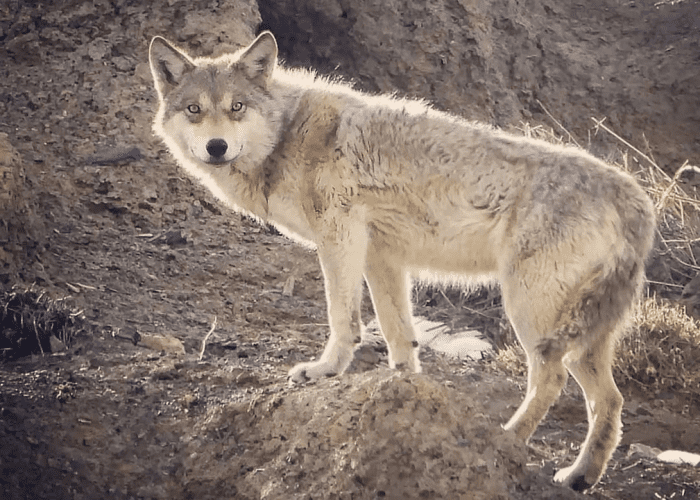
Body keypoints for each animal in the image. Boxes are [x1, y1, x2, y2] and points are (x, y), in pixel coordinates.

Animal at [149, 31, 656, 490]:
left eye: (237, 107)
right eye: (194, 109)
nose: (216, 147)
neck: (289, 135)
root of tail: (638, 198)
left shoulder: (340, 238)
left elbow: (343, 320)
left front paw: (325, 370)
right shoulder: (382, 256)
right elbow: (399, 337)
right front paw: (402, 399)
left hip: (530, 314)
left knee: (551, 380)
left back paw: (507, 441)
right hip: (583, 340)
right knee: (610, 401)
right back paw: (579, 476)